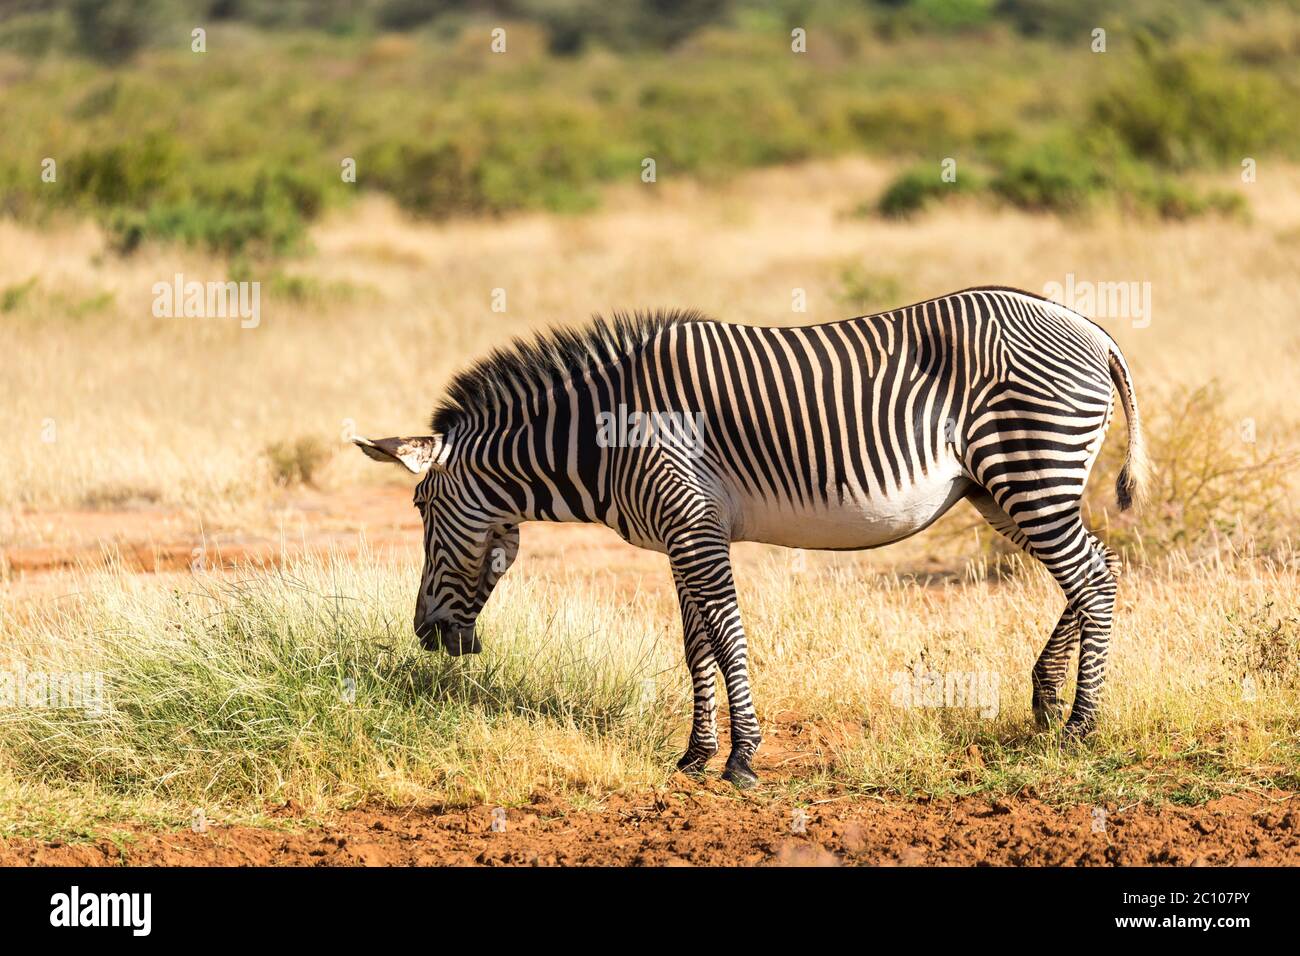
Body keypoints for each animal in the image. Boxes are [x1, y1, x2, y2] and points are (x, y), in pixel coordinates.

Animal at [354, 286, 1149, 788]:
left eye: (420, 507)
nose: (426, 636)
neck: (605, 438)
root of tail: (1089, 327)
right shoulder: (681, 535)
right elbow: (695, 645)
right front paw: (694, 756)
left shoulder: (696, 525)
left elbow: (728, 636)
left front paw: (742, 759)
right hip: (1000, 488)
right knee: (1096, 570)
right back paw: (1046, 696)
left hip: (1029, 468)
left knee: (1095, 578)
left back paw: (1080, 726)